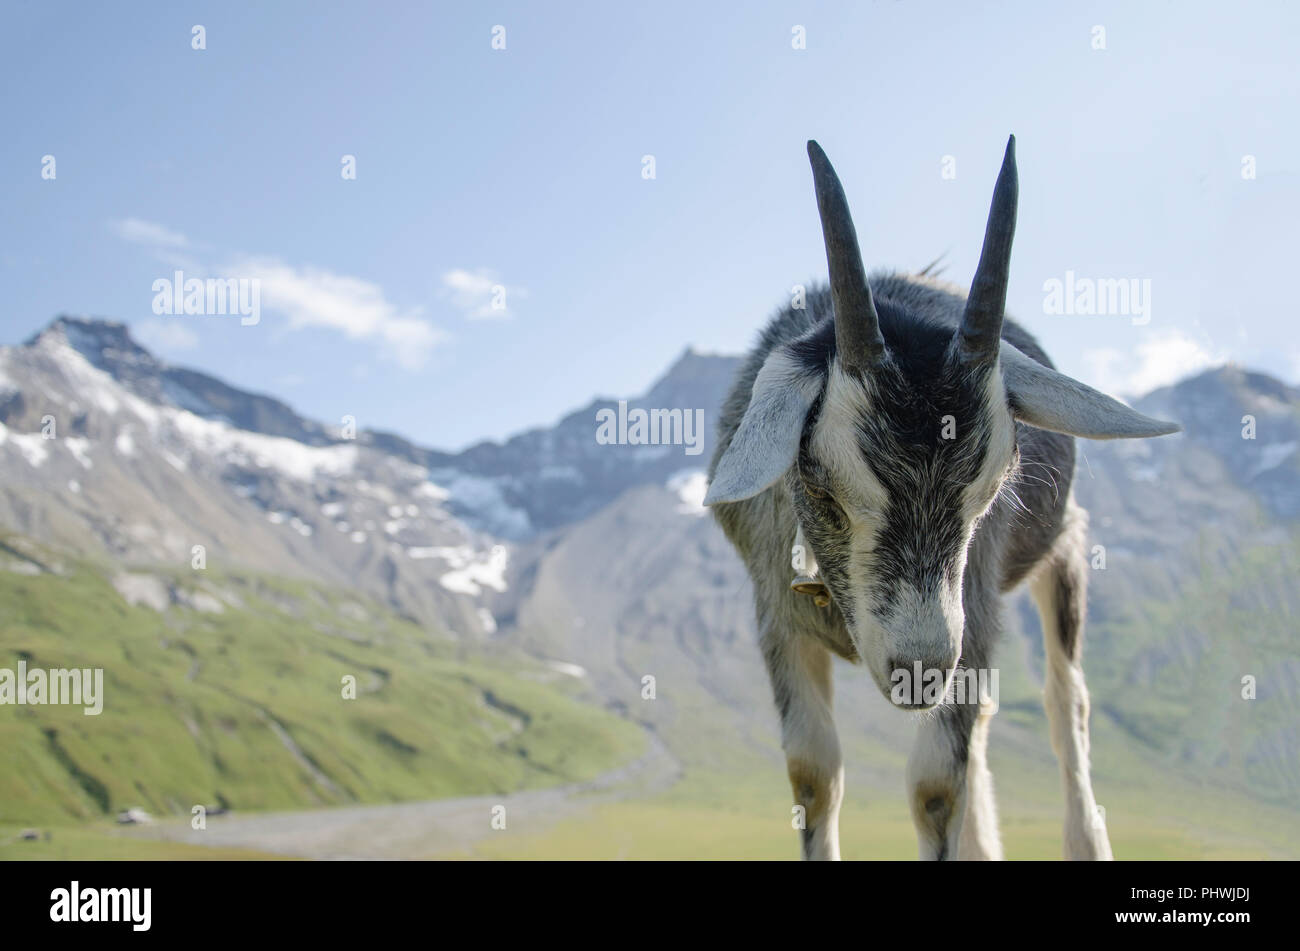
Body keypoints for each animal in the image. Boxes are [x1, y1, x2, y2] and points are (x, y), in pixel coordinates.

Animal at [705, 137, 1180, 860]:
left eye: (995, 486)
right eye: (819, 482)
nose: (919, 673)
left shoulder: (974, 605)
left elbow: (935, 787)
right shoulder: (776, 613)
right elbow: (813, 776)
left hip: (1060, 554)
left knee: (1064, 703)